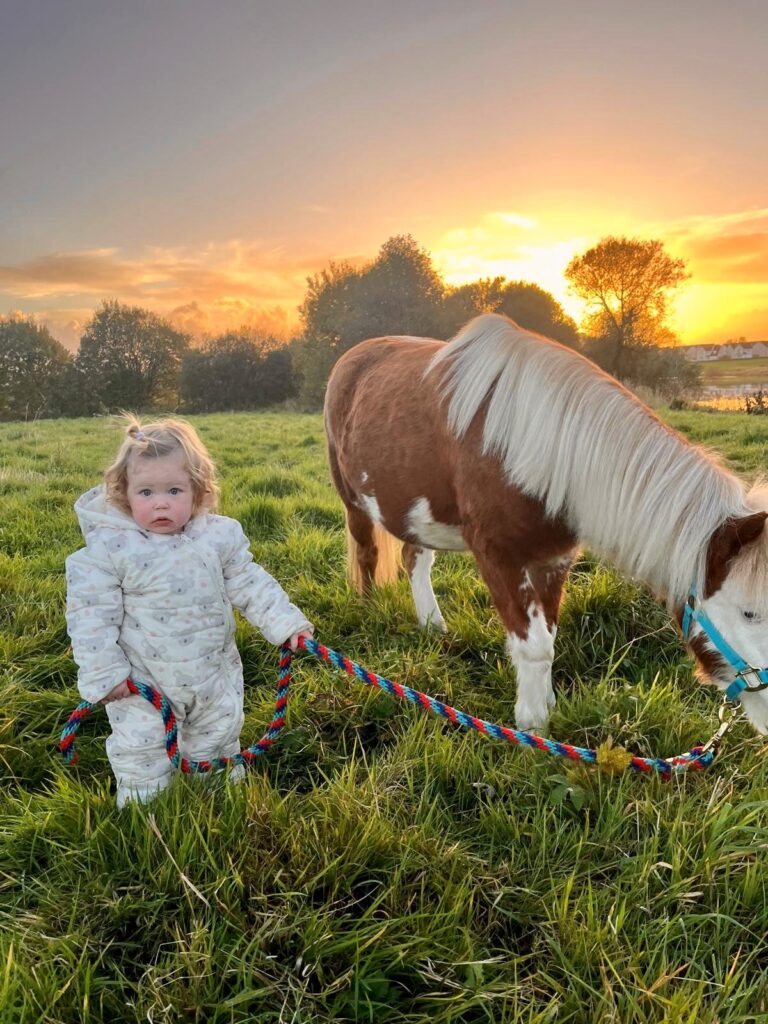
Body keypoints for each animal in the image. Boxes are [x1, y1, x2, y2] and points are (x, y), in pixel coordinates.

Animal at [324, 313, 768, 735]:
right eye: (748, 614)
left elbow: (549, 638)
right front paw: (532, 726)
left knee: (415, 557)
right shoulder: (498, 558)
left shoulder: (553, 560)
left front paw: (547, 704)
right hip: (352, 500)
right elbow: (533, 645)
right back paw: (368, 610)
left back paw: (432, 624)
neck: (538, 451)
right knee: (367, 553)